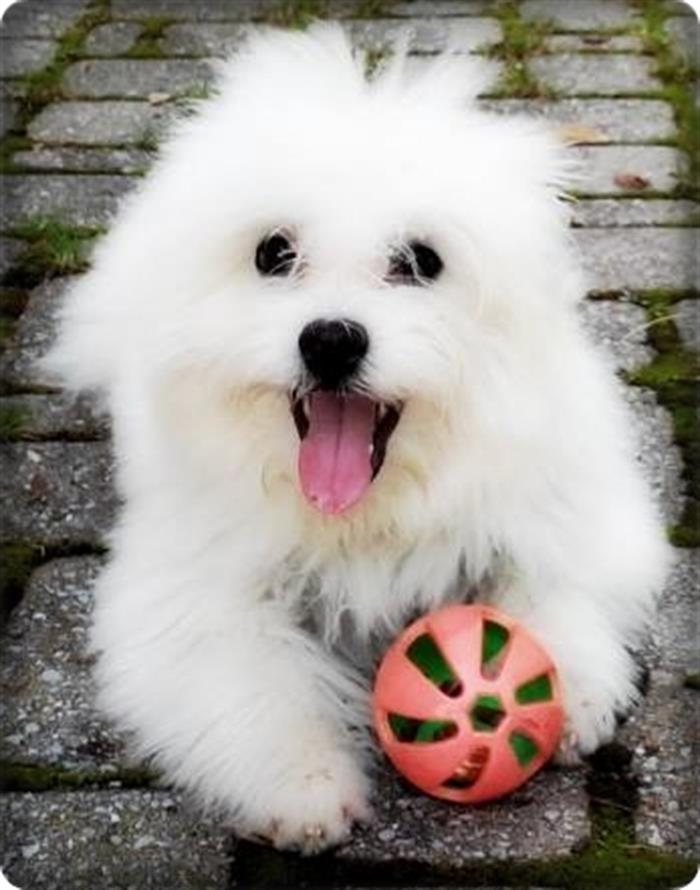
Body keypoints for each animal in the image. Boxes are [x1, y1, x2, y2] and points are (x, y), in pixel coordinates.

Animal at [43, 22, 668, 852]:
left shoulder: (580, 506)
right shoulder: (191, 592)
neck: (368, 513)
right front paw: (305, 784)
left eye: (421, 260)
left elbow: (556, 580)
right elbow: (250, 680)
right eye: (273, 253)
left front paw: (576, 685)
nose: (331, 341)